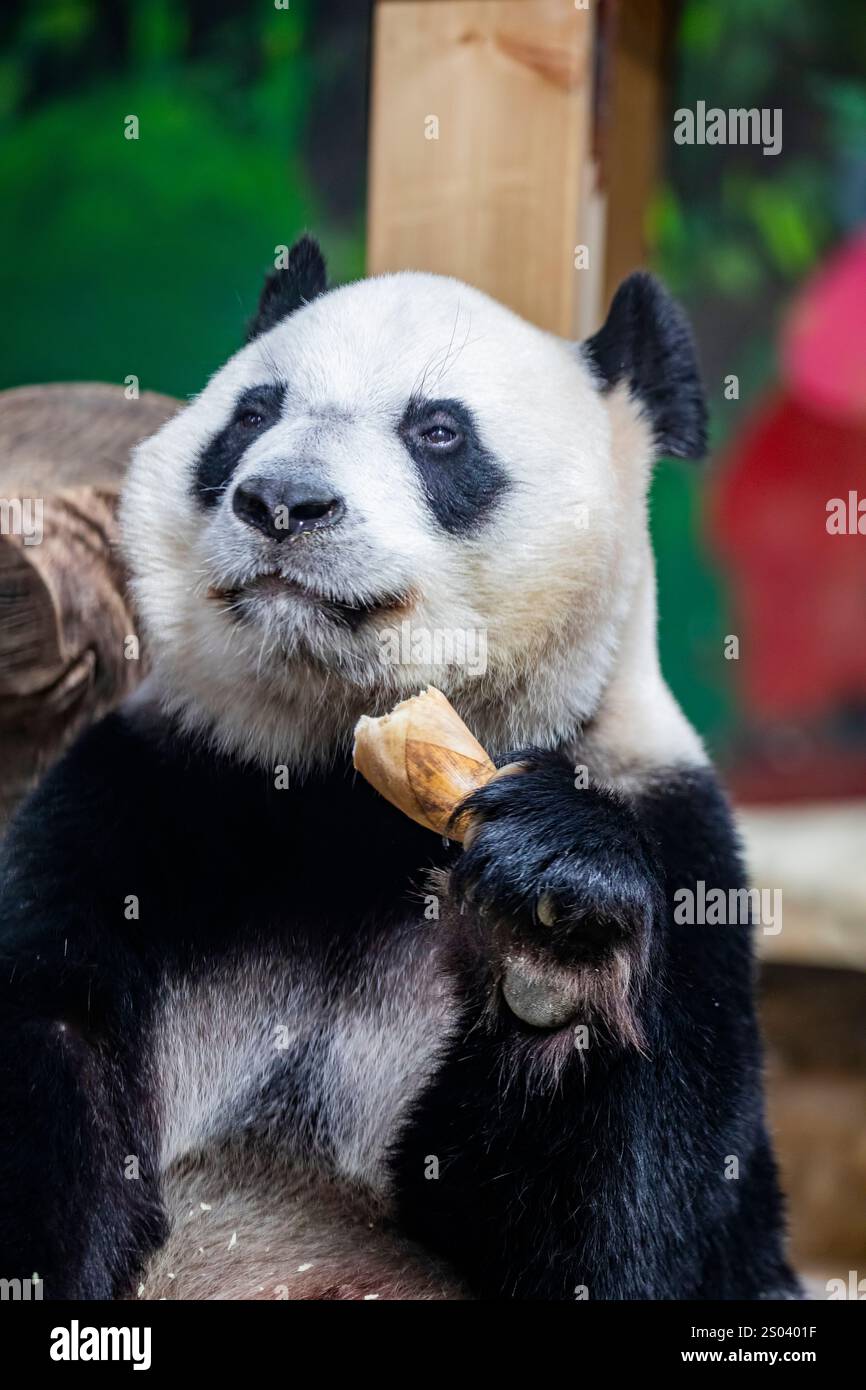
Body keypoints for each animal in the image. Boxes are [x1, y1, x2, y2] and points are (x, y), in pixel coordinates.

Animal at [0, 236, 800, 1301]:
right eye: (252, 413)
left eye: (438, 432)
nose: (282, 502)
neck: (342, 788)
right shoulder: (150, 795)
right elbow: (50, 1049)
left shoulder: (681, 847)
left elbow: (645, 1230)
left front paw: (556, 923)